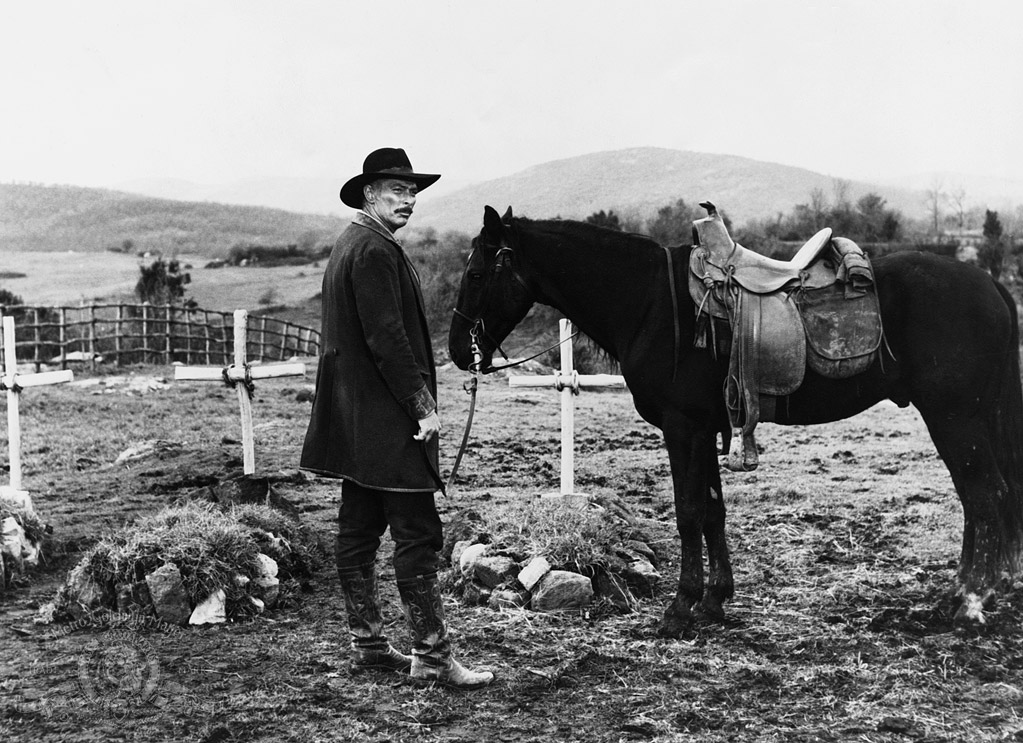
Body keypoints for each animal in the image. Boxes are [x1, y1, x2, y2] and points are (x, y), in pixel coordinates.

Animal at [448, 205, 1023, 637]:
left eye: (476, 274)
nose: (457, 350)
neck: (651, 302)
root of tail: (990, 285)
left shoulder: (683, 428)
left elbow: (688, 513)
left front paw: (680, 608)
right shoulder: (706, 430)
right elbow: (712, 512)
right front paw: (714, 600)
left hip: (956, 419)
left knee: (986, 497)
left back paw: (971, 603)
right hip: (969, 419)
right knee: (981, 502)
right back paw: (961, 595)